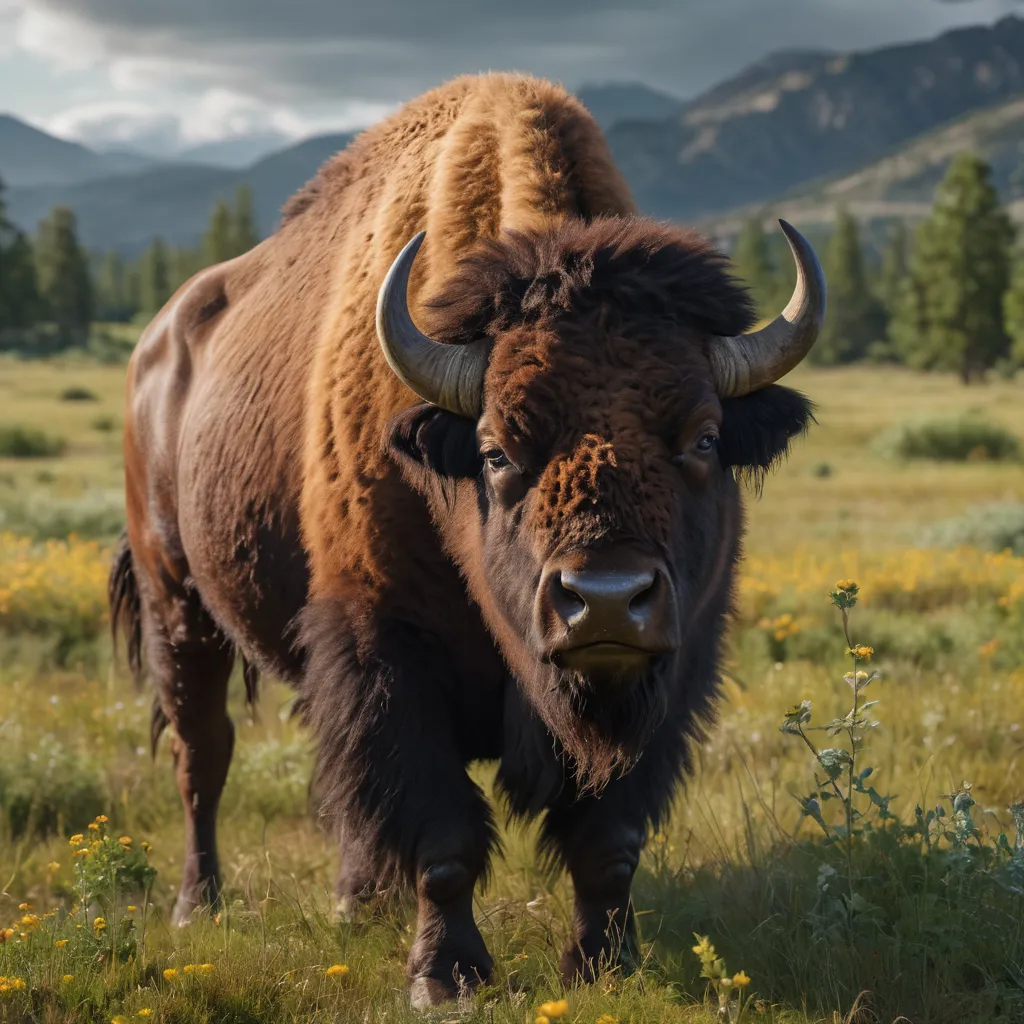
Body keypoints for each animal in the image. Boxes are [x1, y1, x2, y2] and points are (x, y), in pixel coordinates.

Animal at [110, 72, 824, 1007]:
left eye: (705, 438)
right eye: (494, 450)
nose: (604, 602)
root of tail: (157, 347)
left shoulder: (674, 668)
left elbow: (608, 842)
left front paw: (606, 967)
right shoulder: (387, 651)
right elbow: (442, 836)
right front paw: (444, 978)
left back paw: (356, 902)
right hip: (178, 598)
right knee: (204, 752)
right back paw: (200, 907)